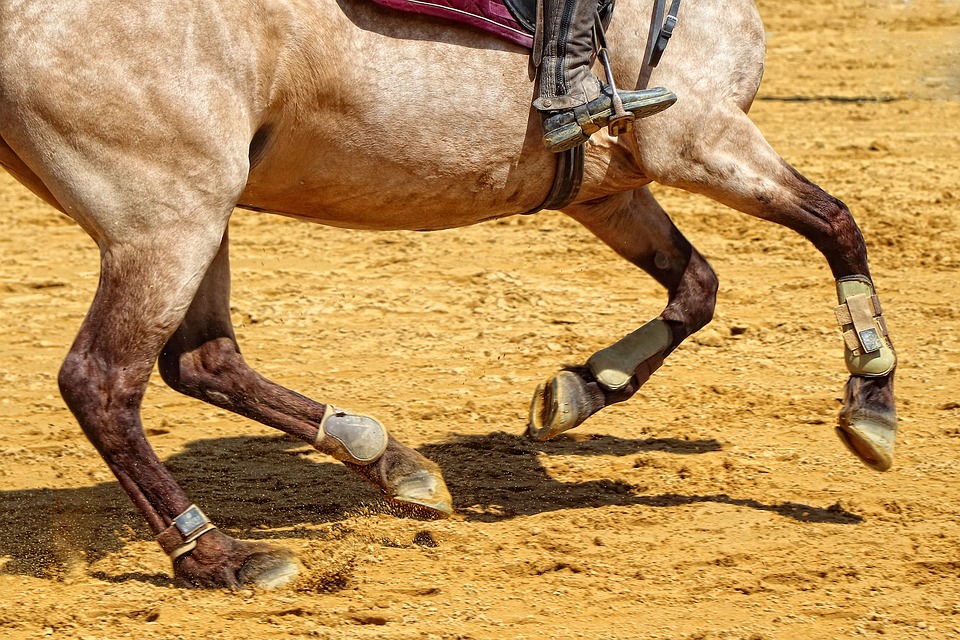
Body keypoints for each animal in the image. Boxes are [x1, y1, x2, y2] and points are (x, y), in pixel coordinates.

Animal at [0, 0, 898, 588]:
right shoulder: (704, 140)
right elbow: (838, 227)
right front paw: (872, 404)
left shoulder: (610, 185)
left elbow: (698, 287)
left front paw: (579, 391)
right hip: (167, 221)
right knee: (104, 383)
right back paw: (219, 556)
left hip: (199, 214)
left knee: (204, 360)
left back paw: (389, 462)